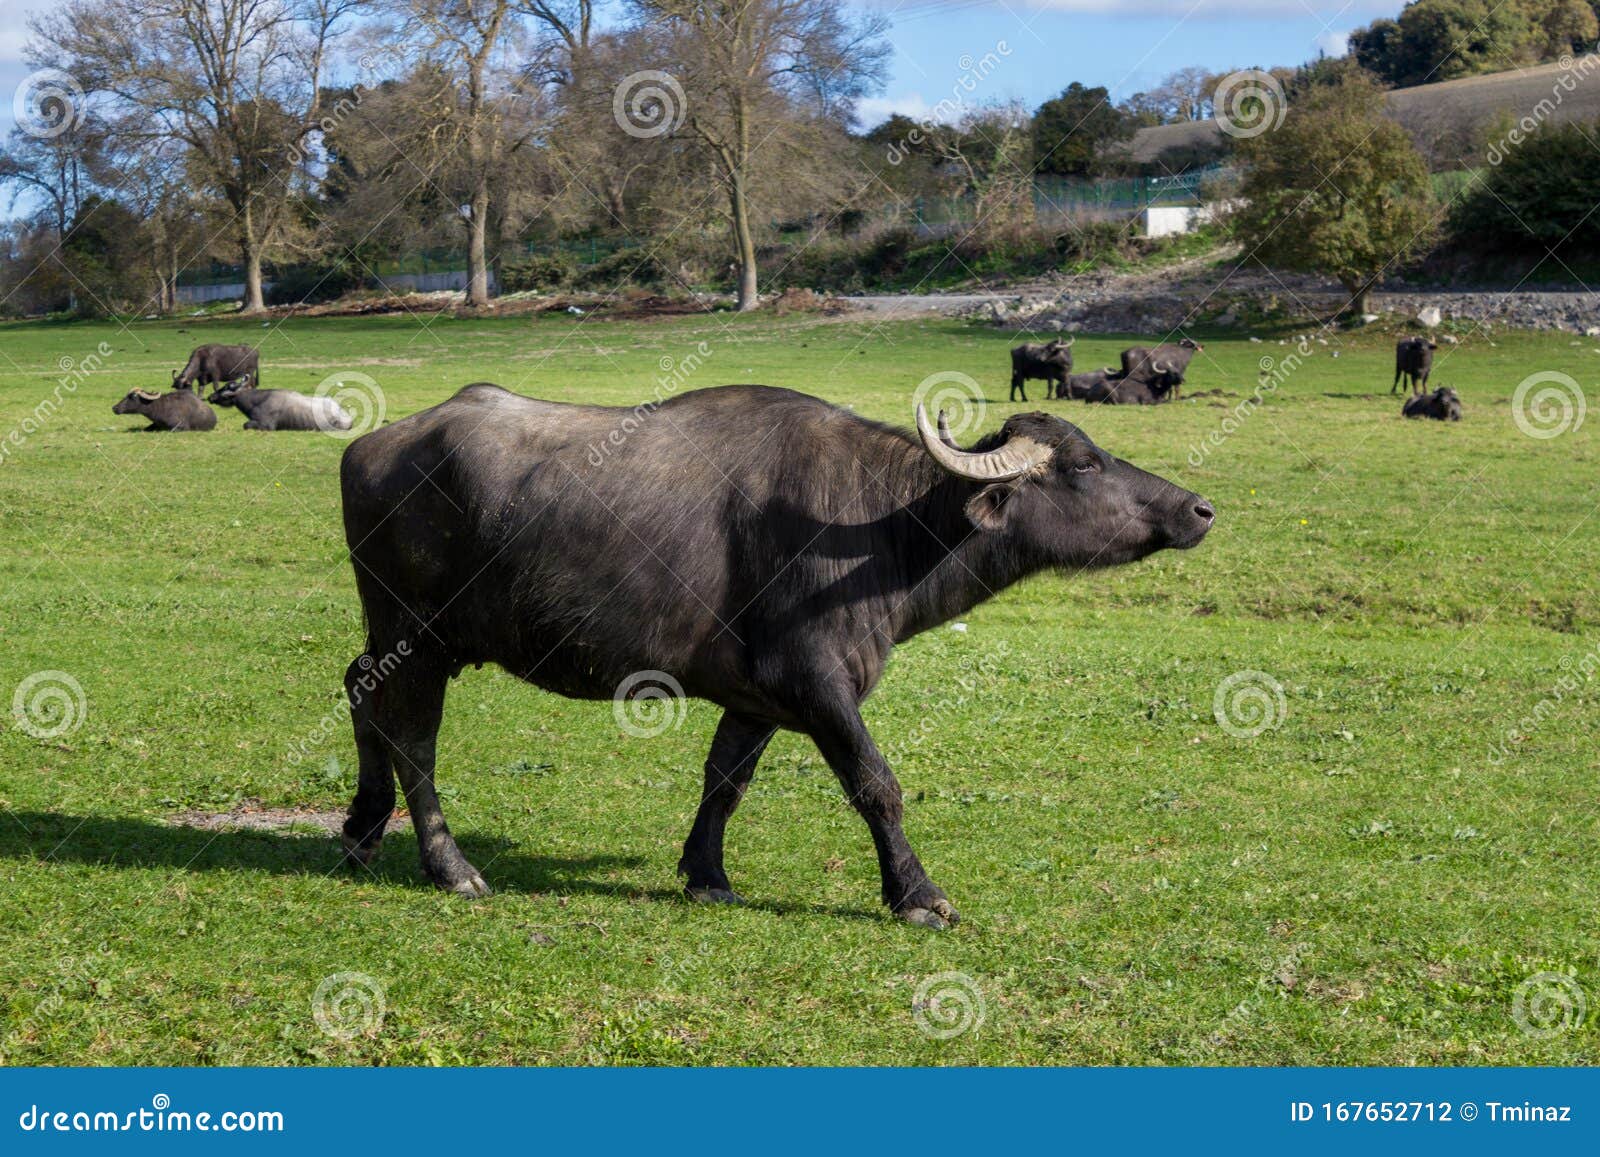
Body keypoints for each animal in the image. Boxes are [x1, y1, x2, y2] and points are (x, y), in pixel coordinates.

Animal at [337, 383, 1214, 927]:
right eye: (1084, 466)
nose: (1199, 508)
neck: (880, 526)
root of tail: (372, 445)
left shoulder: (754, 695)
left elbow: (725, 781)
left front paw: (707, 874)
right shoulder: (818, 682)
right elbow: (876, 783)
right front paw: (918, 894)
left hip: (390, 638)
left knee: (357, 689)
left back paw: (361, 830)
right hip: (418, 637)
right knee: (414, 737)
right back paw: (450, 866)